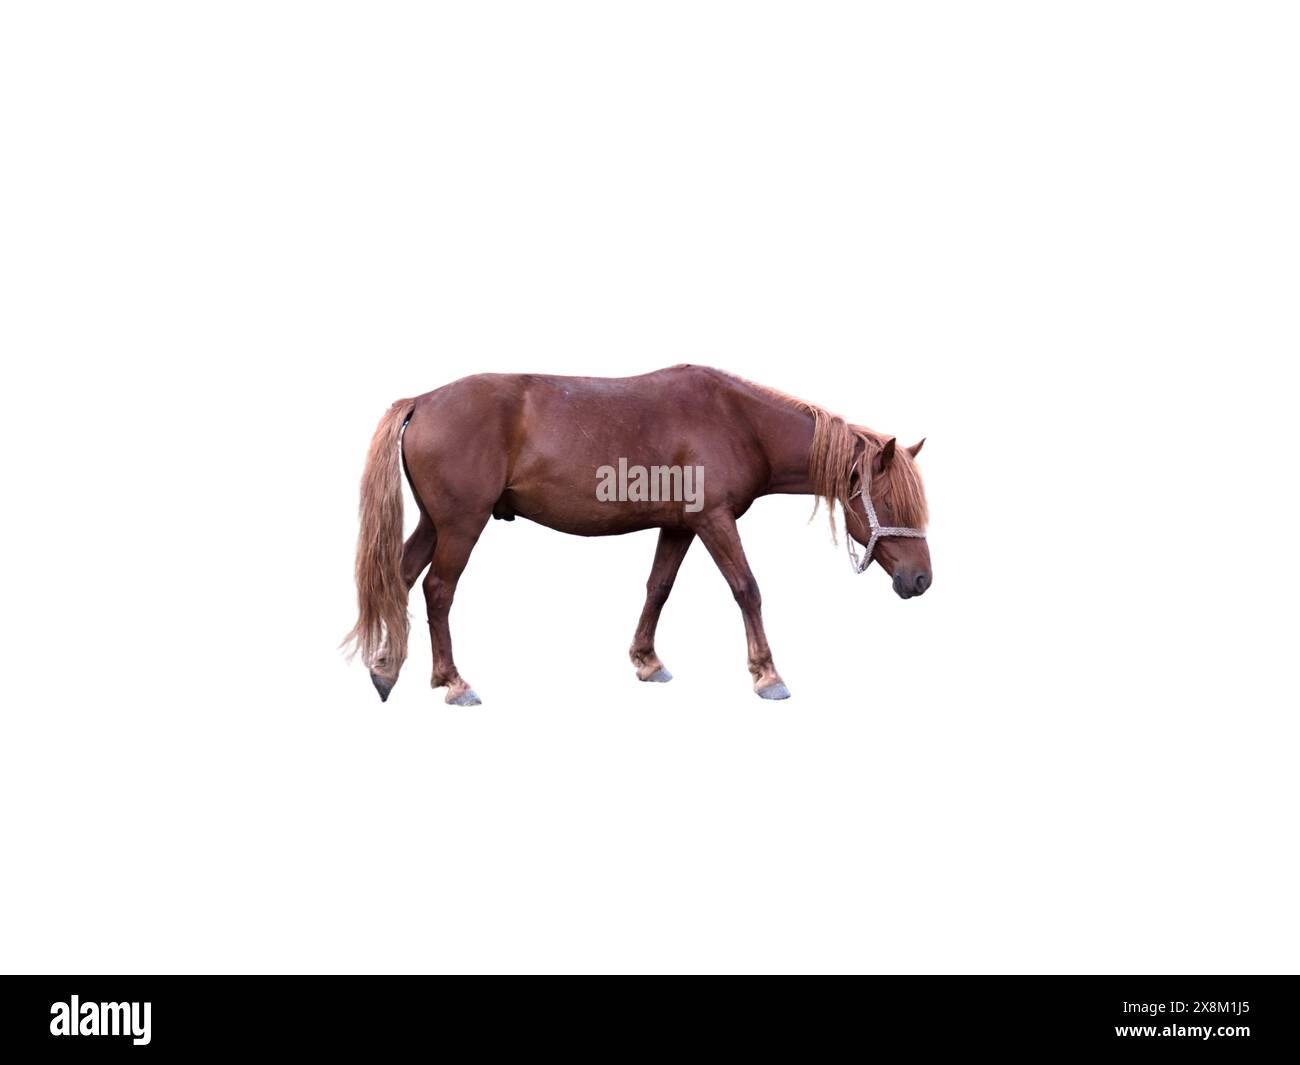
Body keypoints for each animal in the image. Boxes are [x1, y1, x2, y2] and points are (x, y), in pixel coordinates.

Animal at [343, 364, 931, 704]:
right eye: (889, 502)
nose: (920, 581)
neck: (739, 421)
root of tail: (422, 400)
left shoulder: (680, 526)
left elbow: (658, 589)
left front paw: (648, 662)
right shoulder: (715, 521)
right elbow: (747, 589)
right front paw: (767, 675)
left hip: (434, 522)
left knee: (399, 579)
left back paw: (385, 670)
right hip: (462, 524)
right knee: (437, 590)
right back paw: (453, 682)